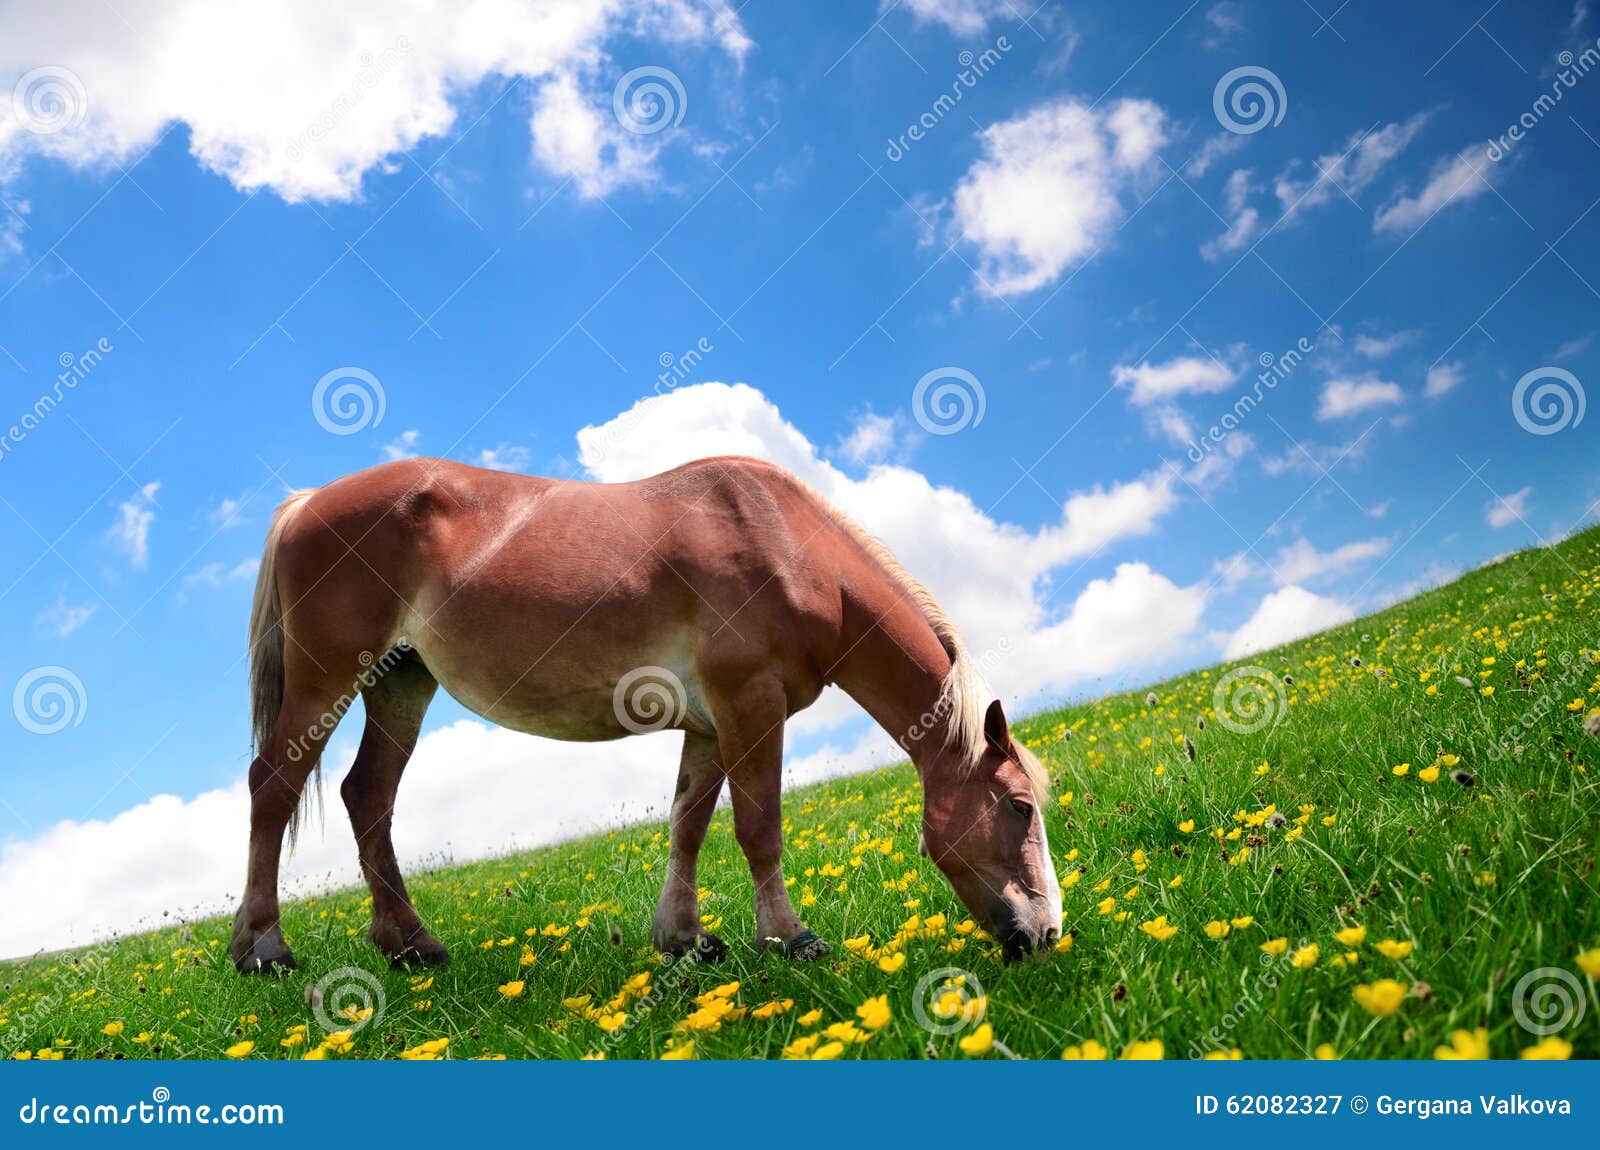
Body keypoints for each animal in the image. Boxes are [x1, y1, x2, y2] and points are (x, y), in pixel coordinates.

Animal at [231, 454, 1061, 973]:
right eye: (1018, 807)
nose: (1048, 932)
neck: (787, 543)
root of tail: (306, 504)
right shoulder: (749, 704)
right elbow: (758, 828)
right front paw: (789, 938)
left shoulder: (709, 725)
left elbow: (687, 825)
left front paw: (683, 938)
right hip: (326, 681)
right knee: (273, 786)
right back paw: (264, 949)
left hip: (399, 684)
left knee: (368, 796)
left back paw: (411, 945)